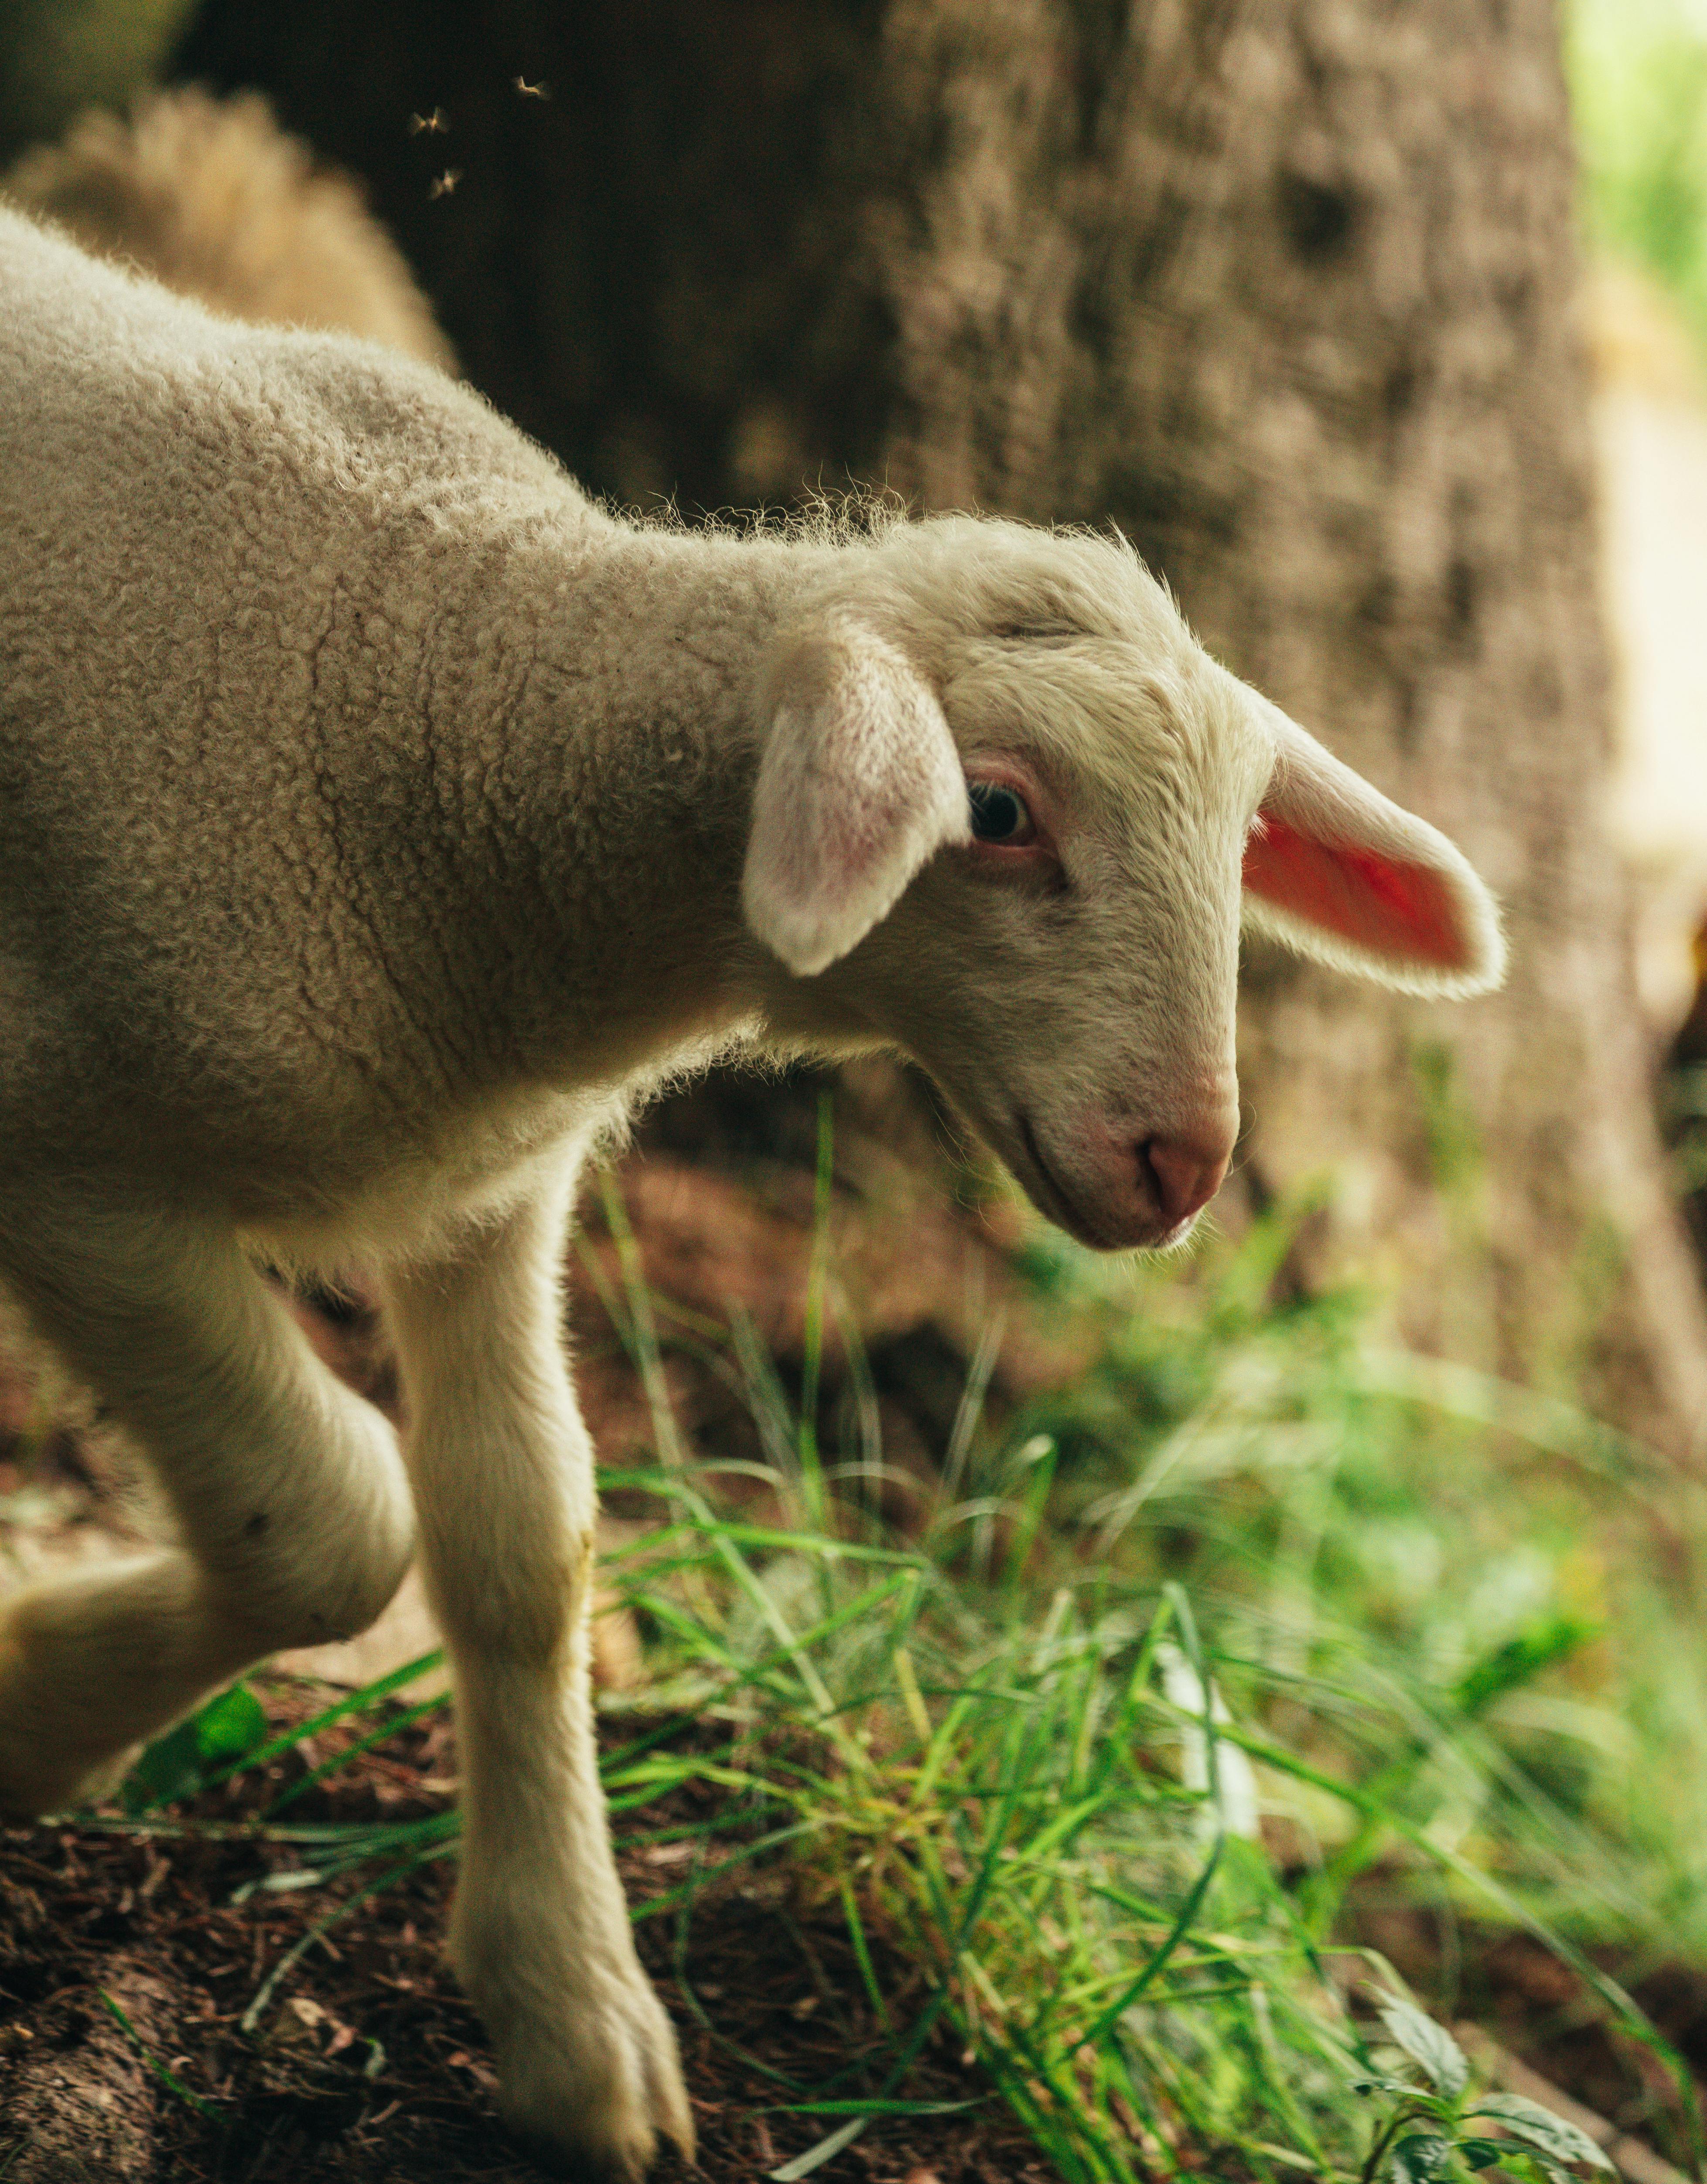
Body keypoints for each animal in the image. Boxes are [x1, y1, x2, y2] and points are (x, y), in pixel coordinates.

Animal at [0, 202, 1503, 2180]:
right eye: (996, 813)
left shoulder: (489, 1187)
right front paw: (27, 1704)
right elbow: (327, 1524)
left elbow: (524, 1543)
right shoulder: (75, 1165)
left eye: (1243, 838)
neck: (427, 697)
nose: (1182, 1159)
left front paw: (576, 2025)